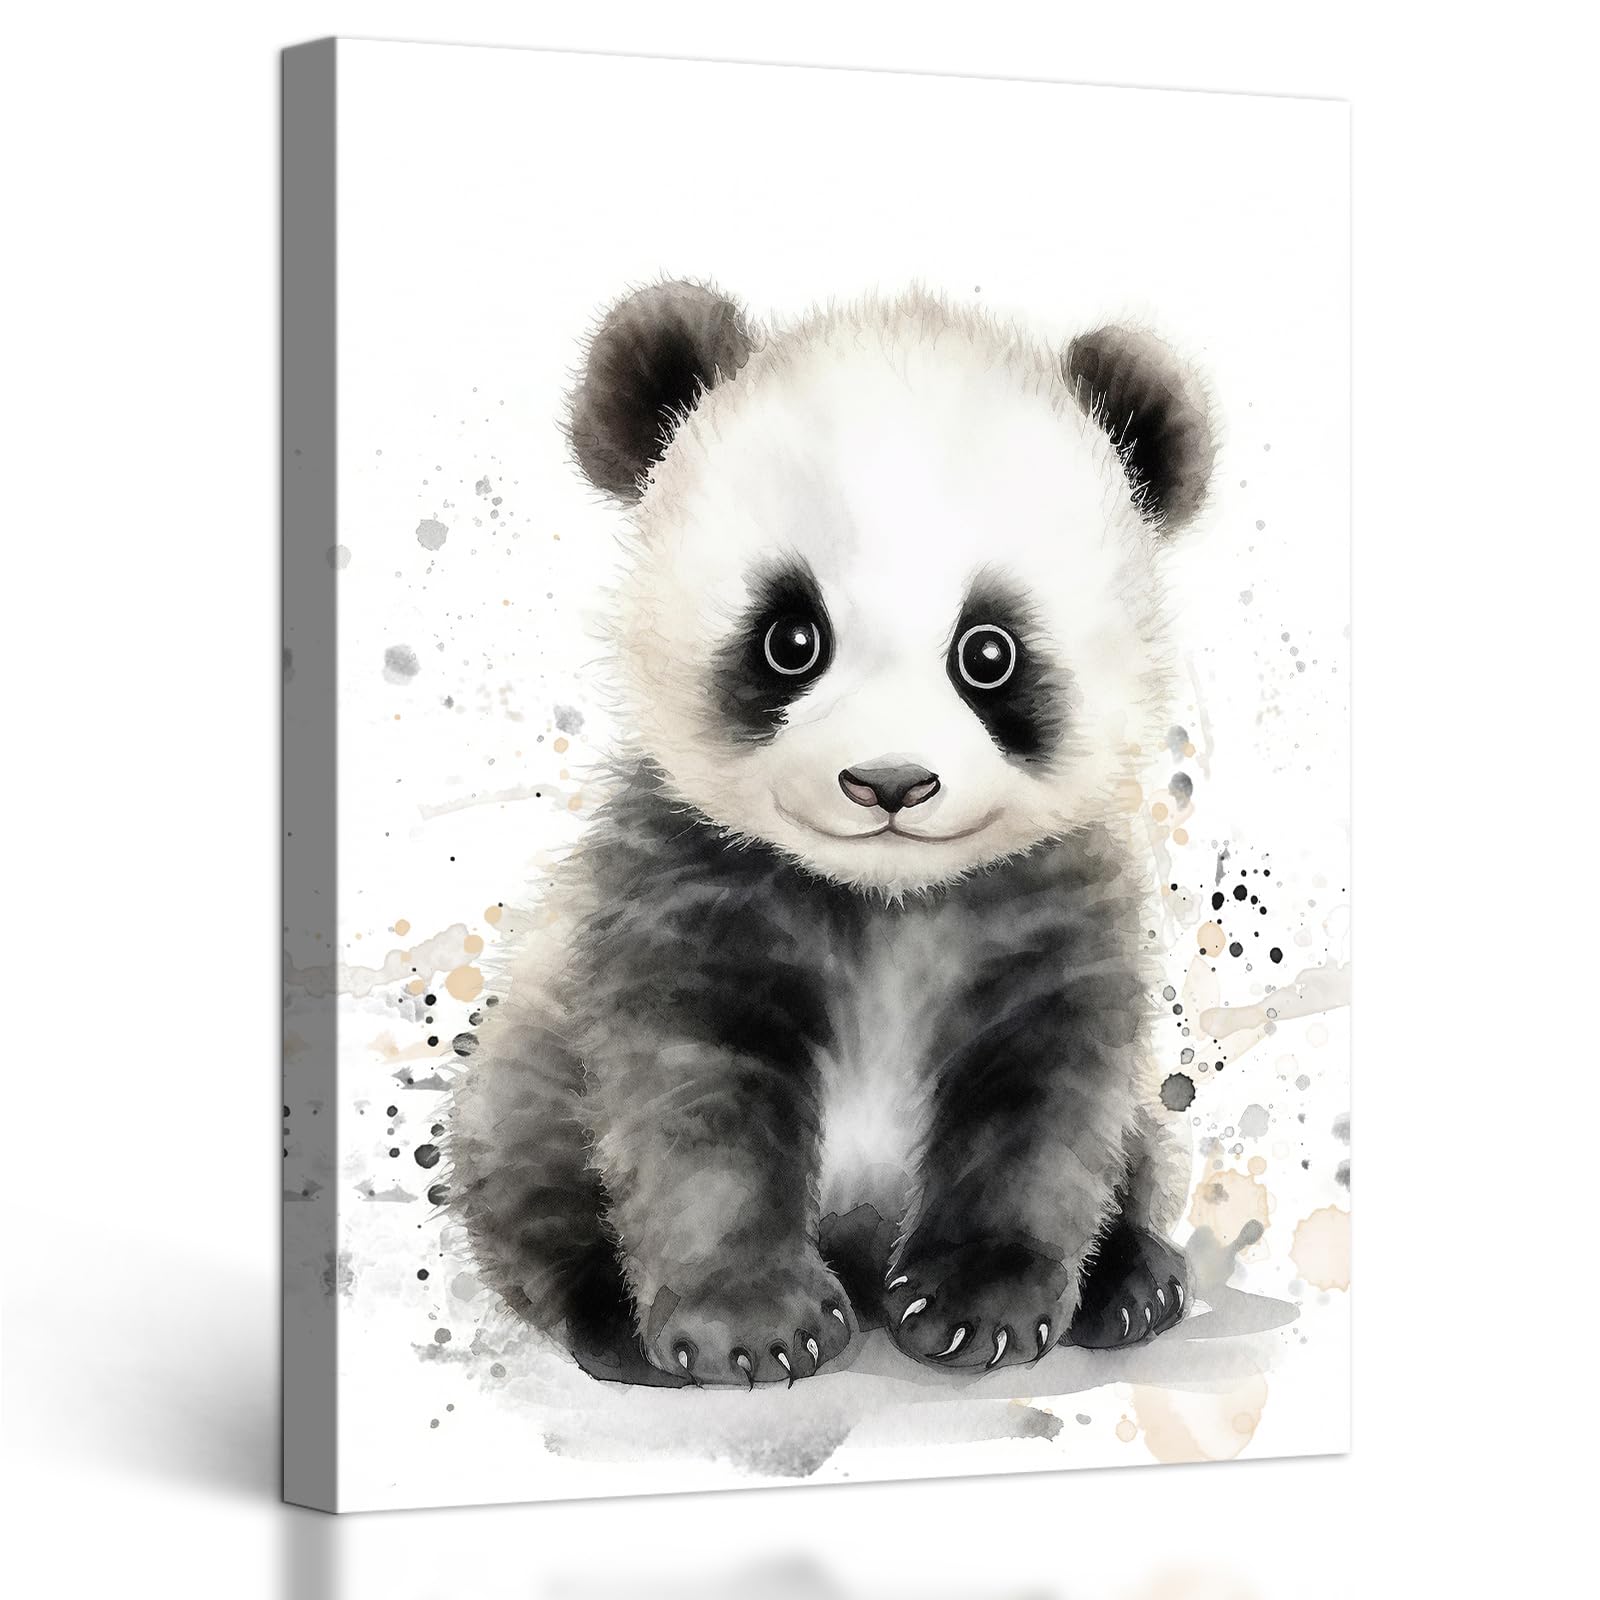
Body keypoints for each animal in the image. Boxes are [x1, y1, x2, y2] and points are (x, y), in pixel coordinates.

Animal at [450, 280, 1214, 1387]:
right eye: (790, 639)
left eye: (989, 653)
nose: (889, 781)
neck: (881, 899)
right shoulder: (683, 895)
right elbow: (700, 1109)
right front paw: (754, 1327)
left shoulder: (1049, 910)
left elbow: (1041, 1111)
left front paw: (976, 1307)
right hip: (529, 1064)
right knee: (529, 1181)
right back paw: (613, 1324)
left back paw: (1132, 1284)